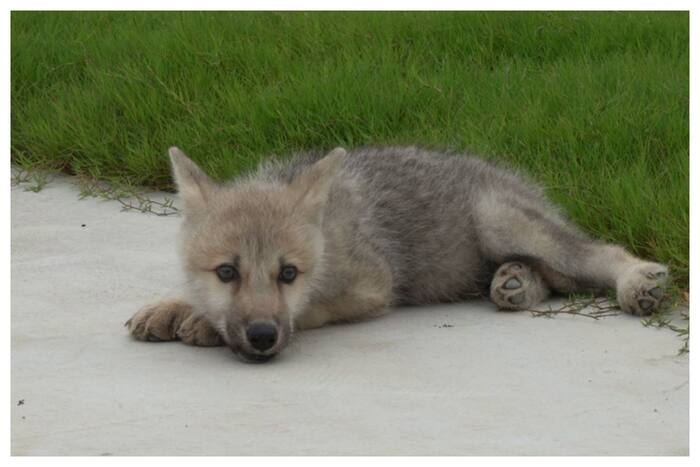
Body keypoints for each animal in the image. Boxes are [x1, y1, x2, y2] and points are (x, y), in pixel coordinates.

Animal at [126, 146, 668, 363]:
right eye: (226, 272)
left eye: (288, 274)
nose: (262, 338)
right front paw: (175, 306)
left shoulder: (372, 287)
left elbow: (310, 310)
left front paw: (200, 321)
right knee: (552, 278)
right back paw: (515, 282)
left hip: (500, 220)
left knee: (595, 255)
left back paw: (637, 281)